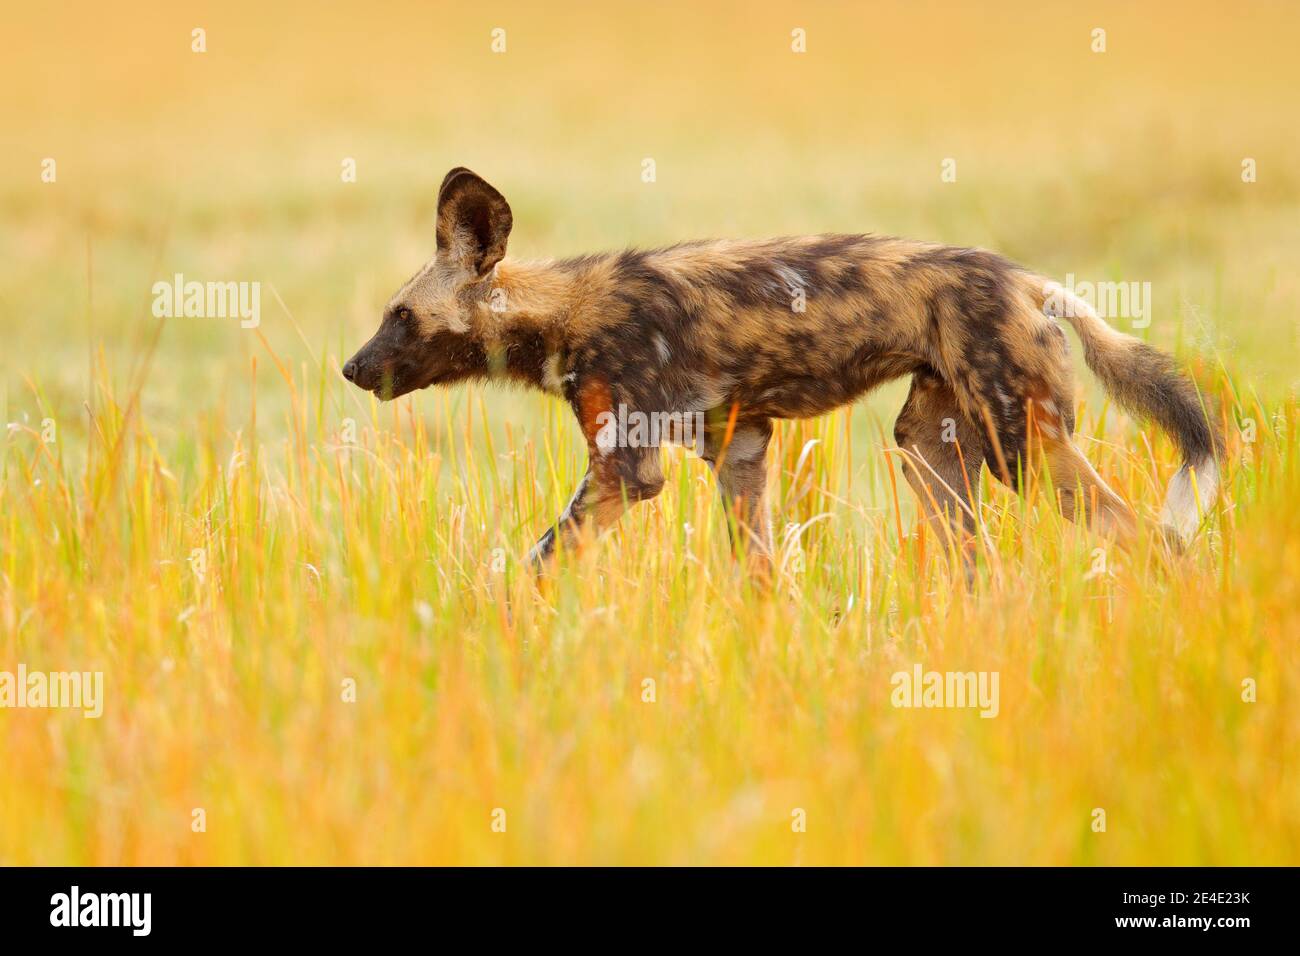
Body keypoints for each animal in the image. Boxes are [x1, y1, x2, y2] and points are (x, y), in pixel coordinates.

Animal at [343, 167, 1221, 572]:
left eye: (400, 316)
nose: (351, 369)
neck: (565, 310)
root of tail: (1029, 281)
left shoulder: (625, 471)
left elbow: (533, 566)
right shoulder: (739, 451)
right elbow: (761, 580)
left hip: (1024, 452)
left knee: (1155, 542)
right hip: (930, 450)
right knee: (984, 566)